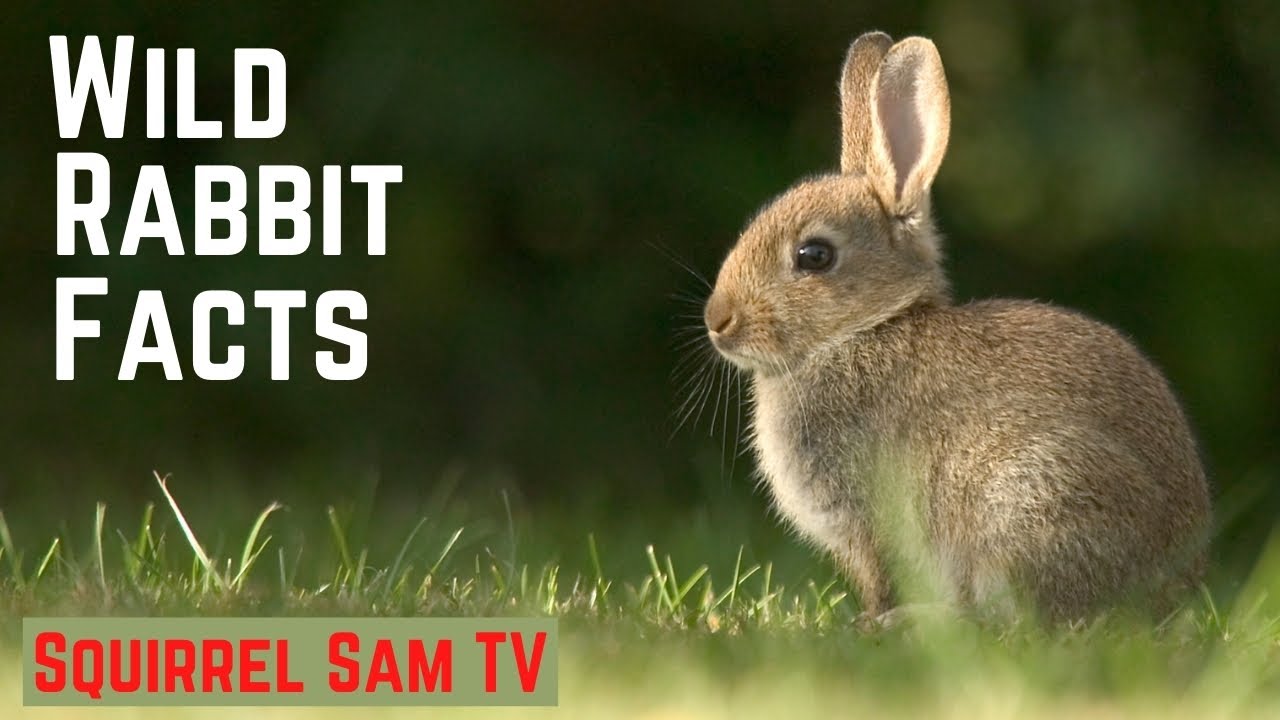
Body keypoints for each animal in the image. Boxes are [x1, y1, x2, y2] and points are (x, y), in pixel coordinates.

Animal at [702, 31, 1211, 623]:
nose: (718, 321)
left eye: (814, 256)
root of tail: (1172, 591)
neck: (864, 329)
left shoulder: (869, 520)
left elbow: (881, 578)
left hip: (1034, 500)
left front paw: (871, 621)